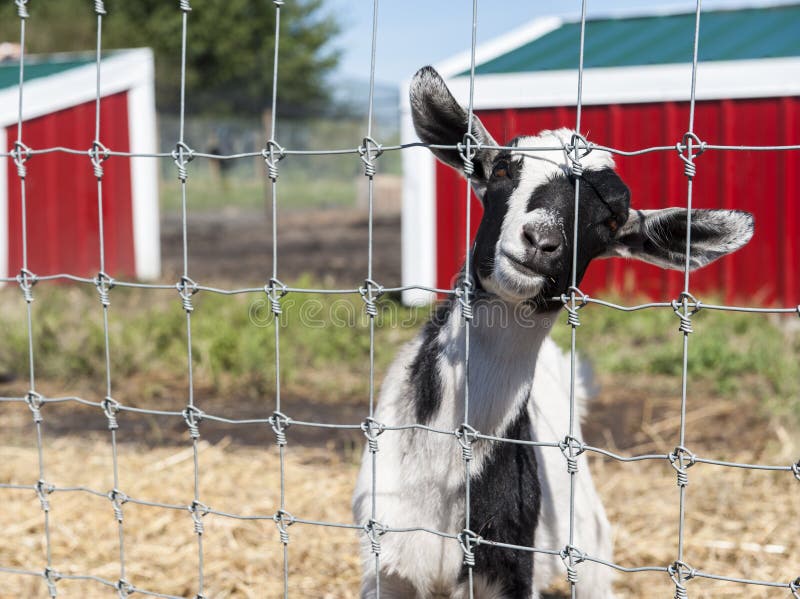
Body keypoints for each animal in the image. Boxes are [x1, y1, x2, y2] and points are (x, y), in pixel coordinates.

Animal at [352, 66, 754, 599]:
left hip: (588, 539)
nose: (541, 241)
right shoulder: (384, 562)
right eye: (502, 170)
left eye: (611, 220)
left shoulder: (509, 568)